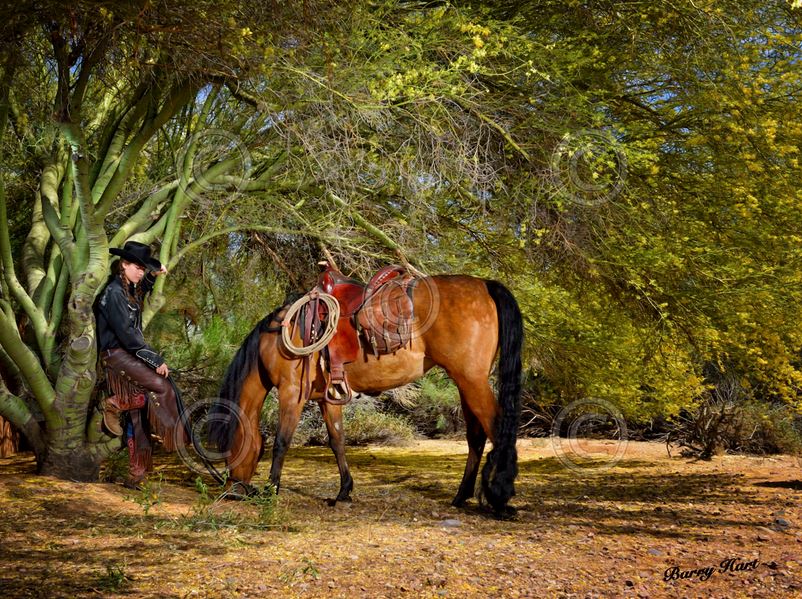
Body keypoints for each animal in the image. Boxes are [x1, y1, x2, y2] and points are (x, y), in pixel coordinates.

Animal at [208, 273, 523, 515]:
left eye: (230, 448)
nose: (232, 491)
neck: (275, 338)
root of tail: (484, 284)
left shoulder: (291, 392)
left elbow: (282, 442)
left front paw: (271, 489)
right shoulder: (327, 398)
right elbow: (337, 441)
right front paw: (344, 490)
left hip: (472, 381)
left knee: (497, 428)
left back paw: (499, 497)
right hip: (466, 382)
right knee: (476, 436)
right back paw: (461, 496)